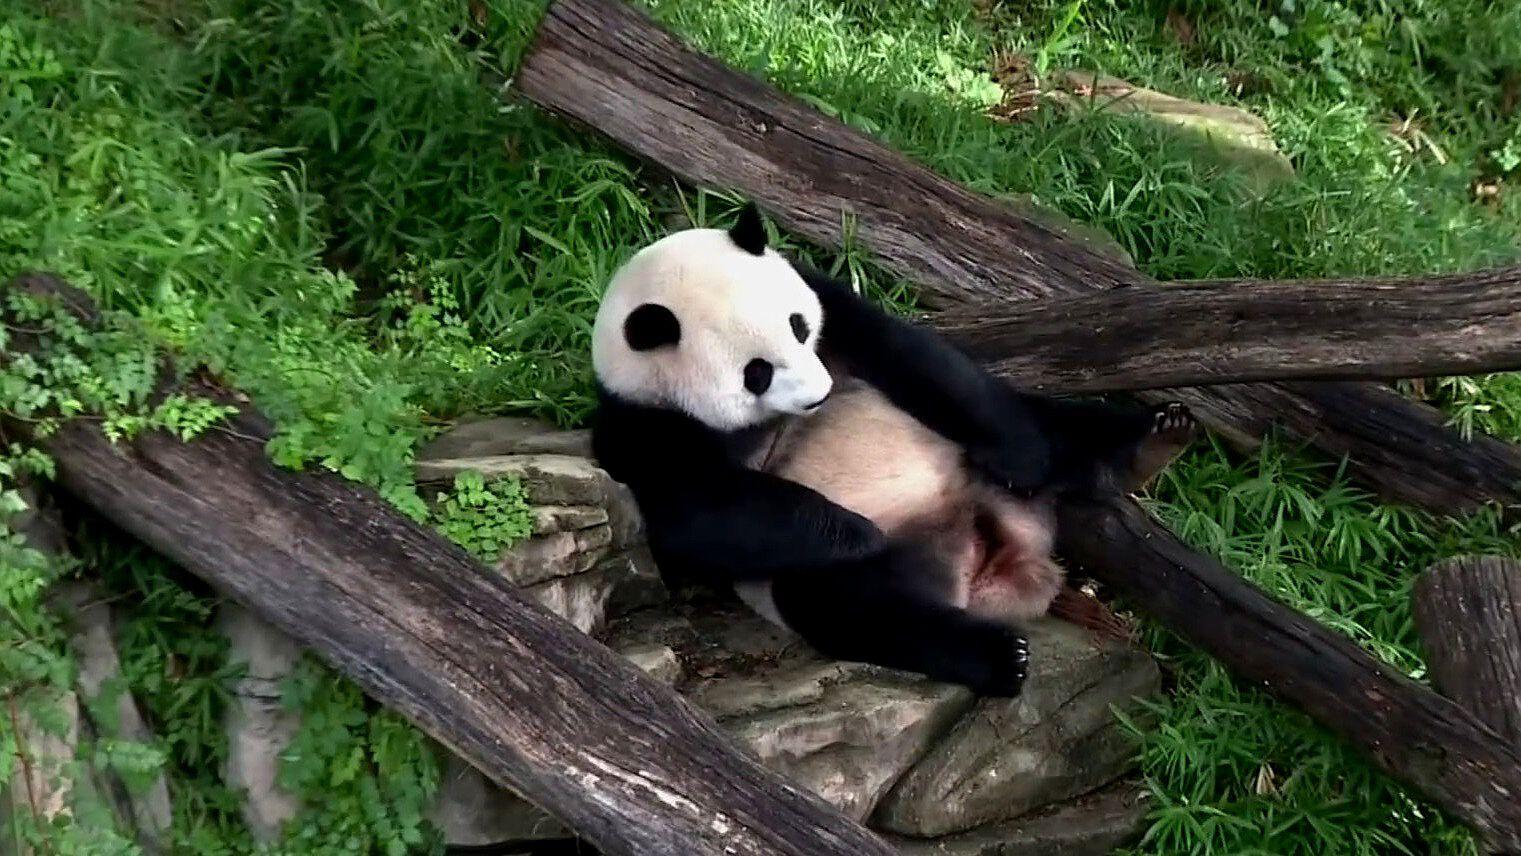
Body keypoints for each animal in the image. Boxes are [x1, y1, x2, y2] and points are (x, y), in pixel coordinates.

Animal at [590, 204, 1194, 697]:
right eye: (755, 373)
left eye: (797, 326)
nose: (821, 394)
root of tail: (997, 565)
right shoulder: (641, 425)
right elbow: (699, 510)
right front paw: (855, 529)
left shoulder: (832, 306)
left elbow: (916, 358)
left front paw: (1023, 457)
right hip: (871, 574)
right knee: (861, 610)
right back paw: (999, 655)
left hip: (982, 462)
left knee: (1051, 423)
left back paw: (1153, 442)